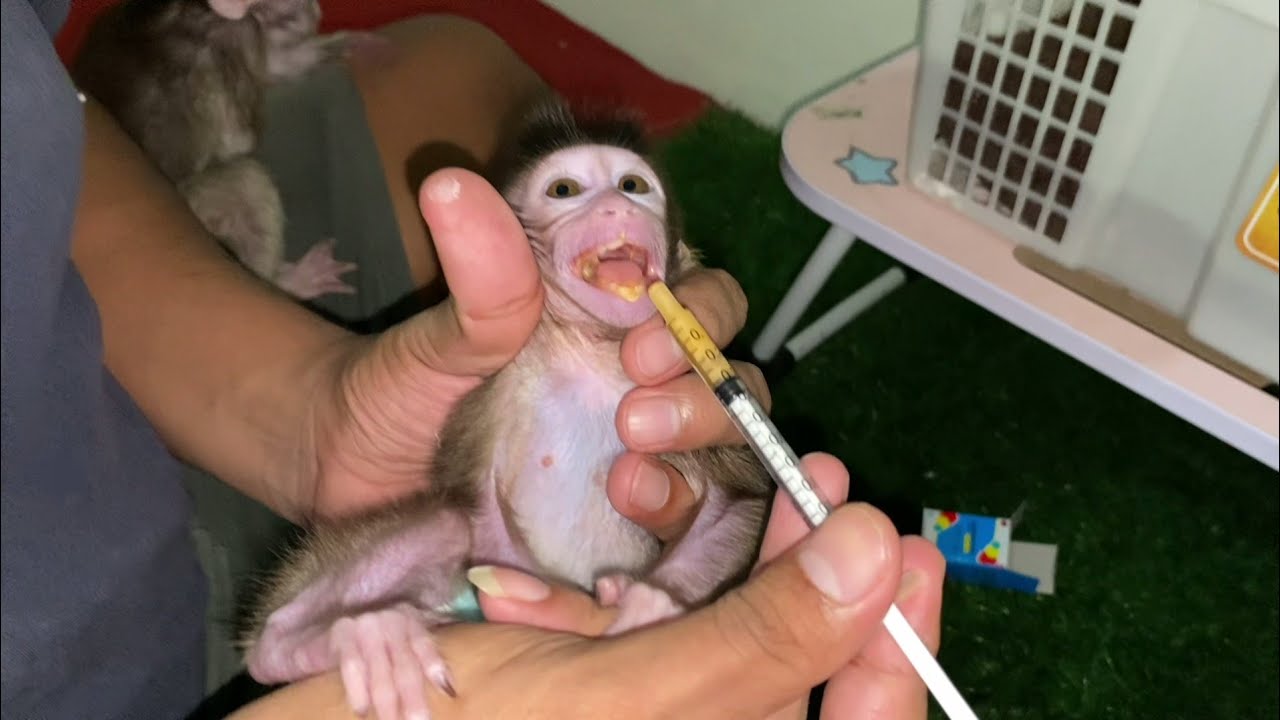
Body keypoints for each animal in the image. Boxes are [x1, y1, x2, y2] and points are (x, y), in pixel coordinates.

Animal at [70, 0, 378, 300]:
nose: (314, 9)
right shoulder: (235, 34)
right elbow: (238, 136)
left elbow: (272, 65)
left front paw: (351, 42)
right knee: (244, 178)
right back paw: (285, 282)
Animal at [237, 99, 776, 720]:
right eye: (565, 189)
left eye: (633, 185)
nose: (616, 205)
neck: (590, 353)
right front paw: (652, 608)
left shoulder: (689, 391)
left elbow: (744, 503)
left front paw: (653, 604)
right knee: (447, 520)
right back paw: (340, 638)